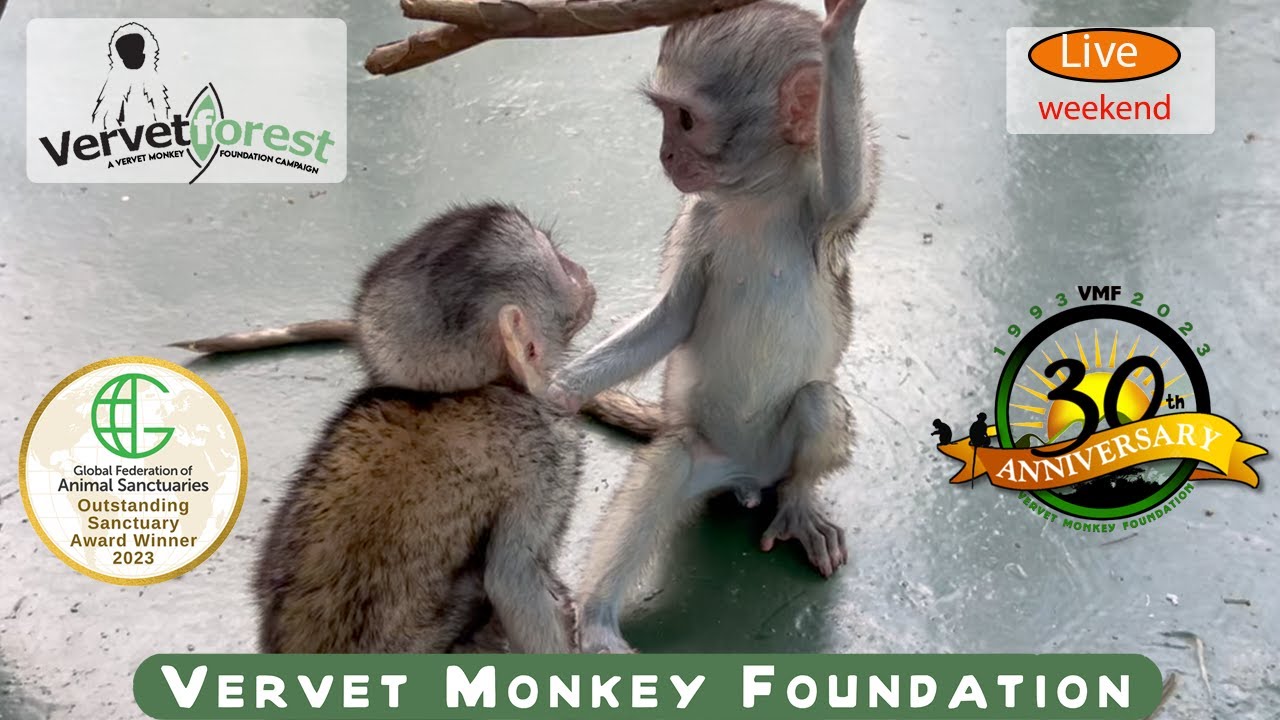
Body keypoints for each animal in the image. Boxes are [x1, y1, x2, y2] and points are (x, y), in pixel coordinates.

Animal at [542, 0, 879, 653]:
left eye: (685, 120)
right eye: (667, 119)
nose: (666, 155)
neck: (757, 201)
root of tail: (749, 476)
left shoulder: (823, 211)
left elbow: (847, 186)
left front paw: (839, 35)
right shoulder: (699, 219)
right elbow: (671, 319)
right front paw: (560, 389)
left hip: (778, 453)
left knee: (817, 403)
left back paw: (798, 501)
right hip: (707, 454)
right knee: (671, 462)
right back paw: (596, 619)